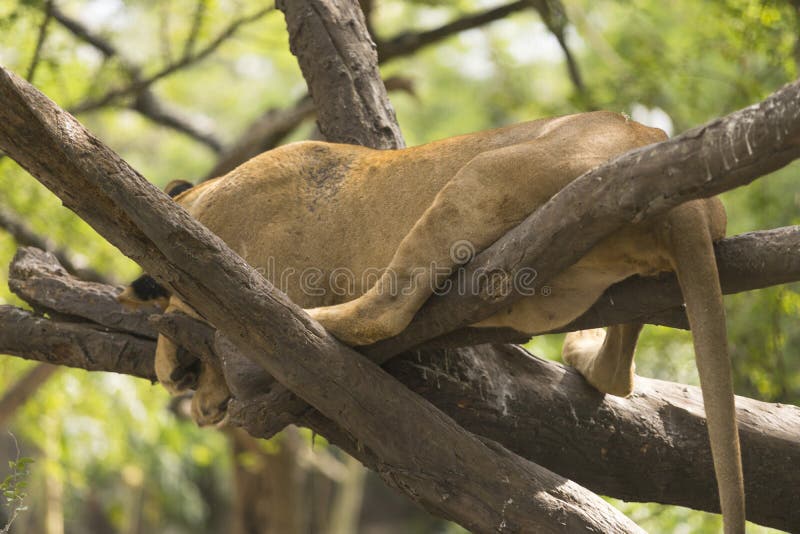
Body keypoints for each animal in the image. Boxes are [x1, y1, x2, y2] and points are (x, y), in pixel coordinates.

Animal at [121, 111, 745, 533]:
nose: (190, 391)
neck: (207, 197)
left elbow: (189, 304)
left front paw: (183, 367)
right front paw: (204, 389)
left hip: (483, 172)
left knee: (385, 310)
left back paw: (312, 320)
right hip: (573, 280)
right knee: (615, 371)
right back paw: (582, 350)